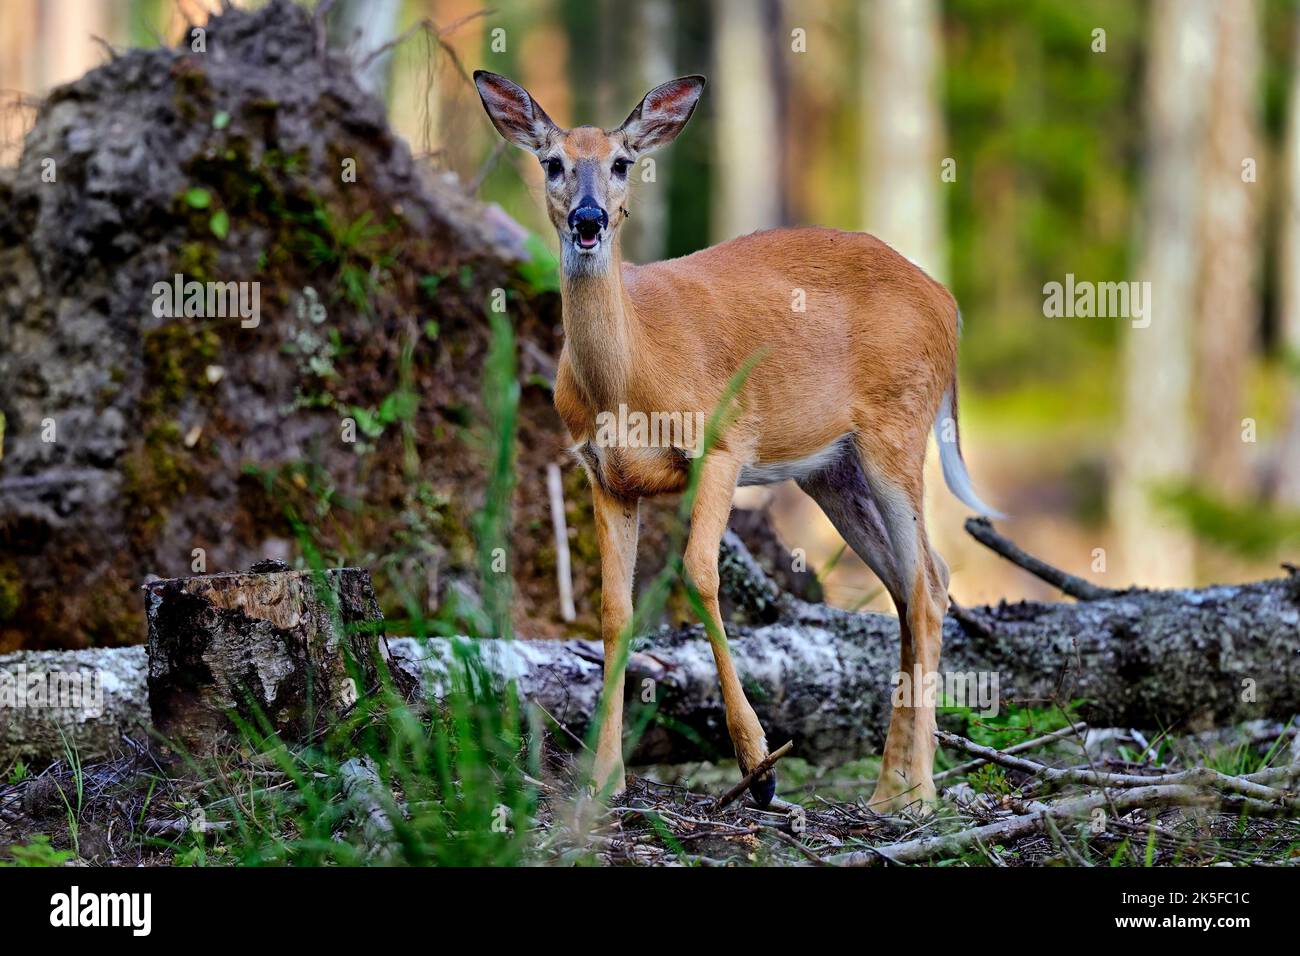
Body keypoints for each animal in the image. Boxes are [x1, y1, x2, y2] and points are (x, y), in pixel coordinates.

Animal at [473, 70, 998, 811]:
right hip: (832, 471)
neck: (633, 373)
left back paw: (917, 791)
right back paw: (888, 788)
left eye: (622, 163)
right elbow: (613, 611)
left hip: (897, 430)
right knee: (918, 581)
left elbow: (699, 574)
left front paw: (760, 767)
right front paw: (603, 781)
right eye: (552, 162)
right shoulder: (604, 476)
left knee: (925, 585)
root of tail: (949, 305)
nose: (588, 220)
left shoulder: (722, 445)